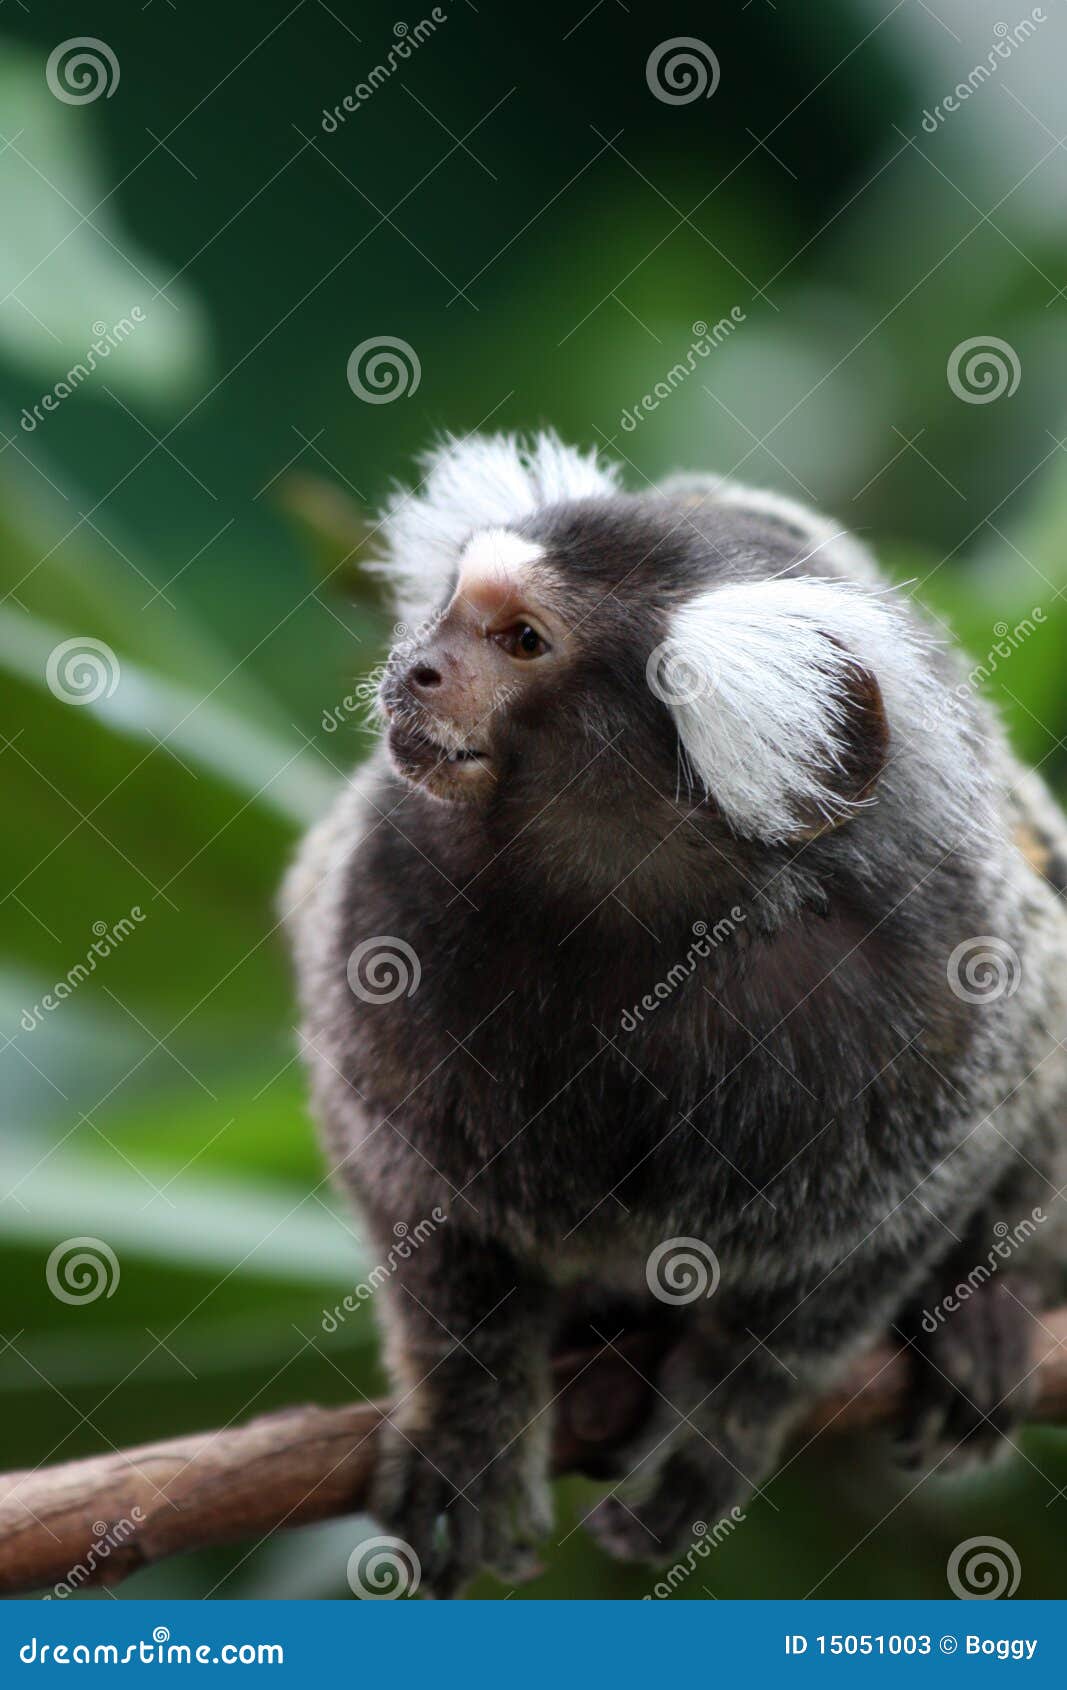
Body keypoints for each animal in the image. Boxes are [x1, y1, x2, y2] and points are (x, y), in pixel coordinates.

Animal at [281, 432, 1067, 1597]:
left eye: (520, 640)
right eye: (451, 612)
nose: (417, 668)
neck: (641, 907)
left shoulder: (946, 979)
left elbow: (874, 1235)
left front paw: (722, 1418)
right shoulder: (377, 896)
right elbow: (419, 1197)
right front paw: (471, 1418)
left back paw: (990, 1312)